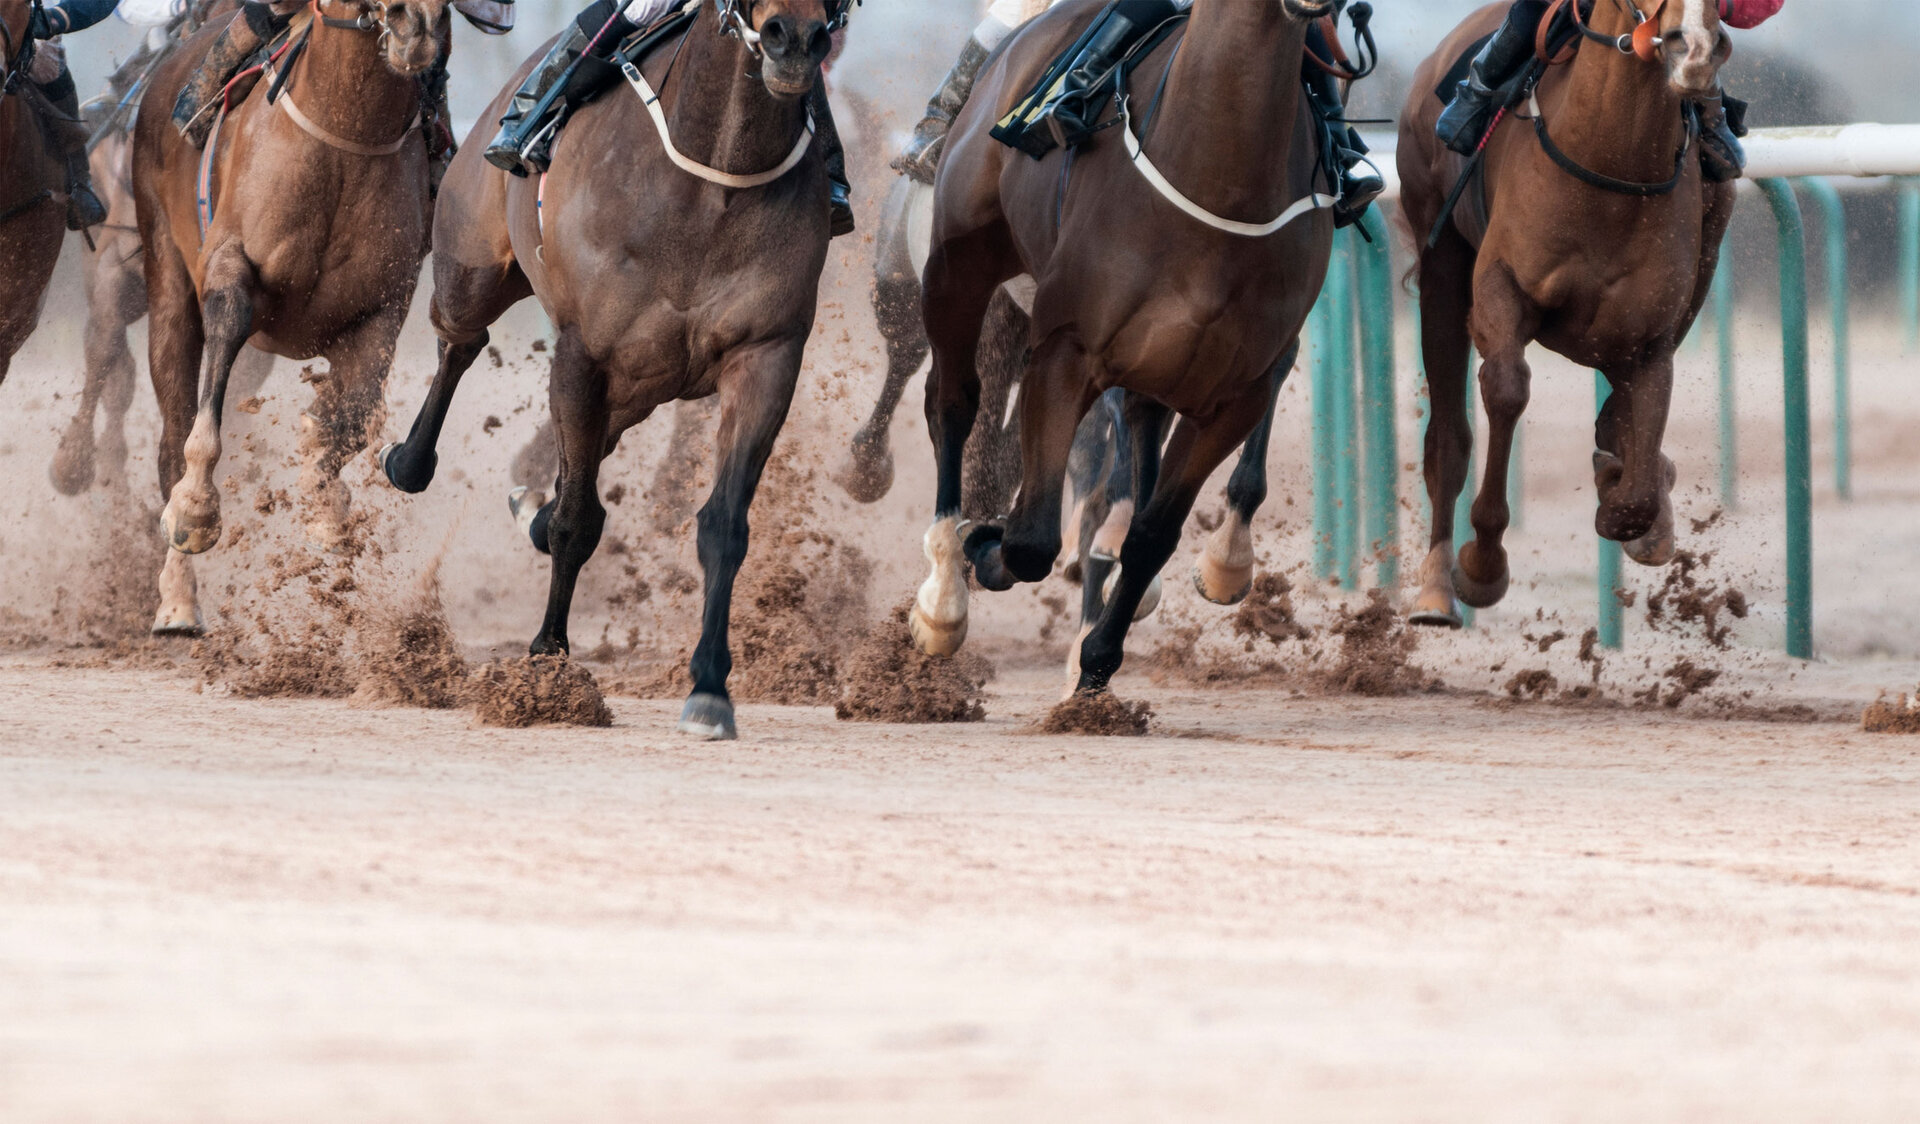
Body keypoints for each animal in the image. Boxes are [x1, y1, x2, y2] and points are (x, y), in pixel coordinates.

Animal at [133, 0, 447, 634]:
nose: (417, 24)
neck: (346, 135)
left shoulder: (385, 305)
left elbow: (349, 417)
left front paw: (324, 497)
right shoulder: (230, 265)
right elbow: (219, 361)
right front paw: (195, 509)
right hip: (166, 277)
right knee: (171, 431)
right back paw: (177, 600)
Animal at [377, 0, 841, 740]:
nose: (793, 38)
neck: (714, 175)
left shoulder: (767, 354)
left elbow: (723, 524)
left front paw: (710, 688)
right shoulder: (581, 353)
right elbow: (574, 524)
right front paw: (547, 664)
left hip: (640, 383)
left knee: (592, 450)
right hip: (472, 269)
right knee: (461, 343)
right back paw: (409, 460)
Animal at [908, 0, 1337, 697]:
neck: (1220, 178)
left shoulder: (1238, 389)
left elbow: (1153, 533)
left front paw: (1098, 658)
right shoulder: (1065, 351)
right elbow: (1029, 539)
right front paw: (987, 549)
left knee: (1137, 430)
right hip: (957, 263)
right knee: (952, 402)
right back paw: (945, 595)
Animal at [1398, 0, 1735, 626]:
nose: (1696, 50)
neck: (1609, 161)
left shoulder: (1652, 336)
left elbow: (1636, 491)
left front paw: (1635, 503)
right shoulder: (1501, 290)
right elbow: (1506, 390)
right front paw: (1482, 566)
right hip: (1440, 258)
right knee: (1449, 436)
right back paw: (1435, 587)